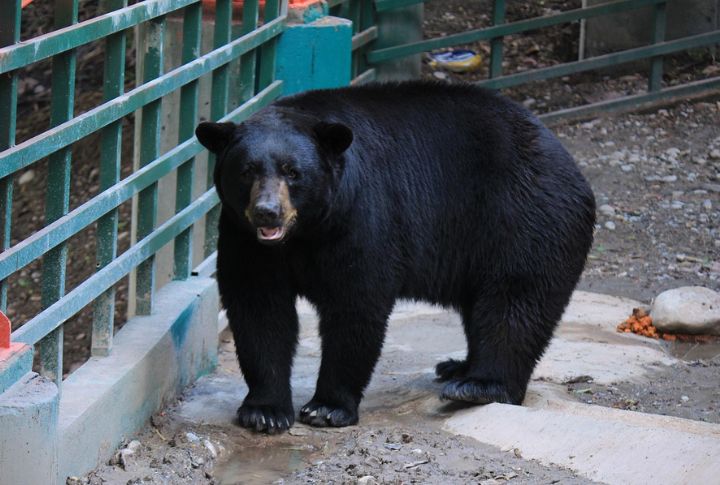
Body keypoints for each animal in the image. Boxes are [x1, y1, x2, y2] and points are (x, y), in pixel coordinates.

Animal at [195, 81, 596, 434]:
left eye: (293, 172)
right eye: (246, 170)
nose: (268, 212)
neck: (303, 233)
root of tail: (568, 163)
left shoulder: (361, 213)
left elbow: (356, 303)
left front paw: (328, 407)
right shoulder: (243, 236)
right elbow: (259, 308)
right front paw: (265, 410)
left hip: (525, 216)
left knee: (515, 299)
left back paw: (480, 385)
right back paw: (458, 367)